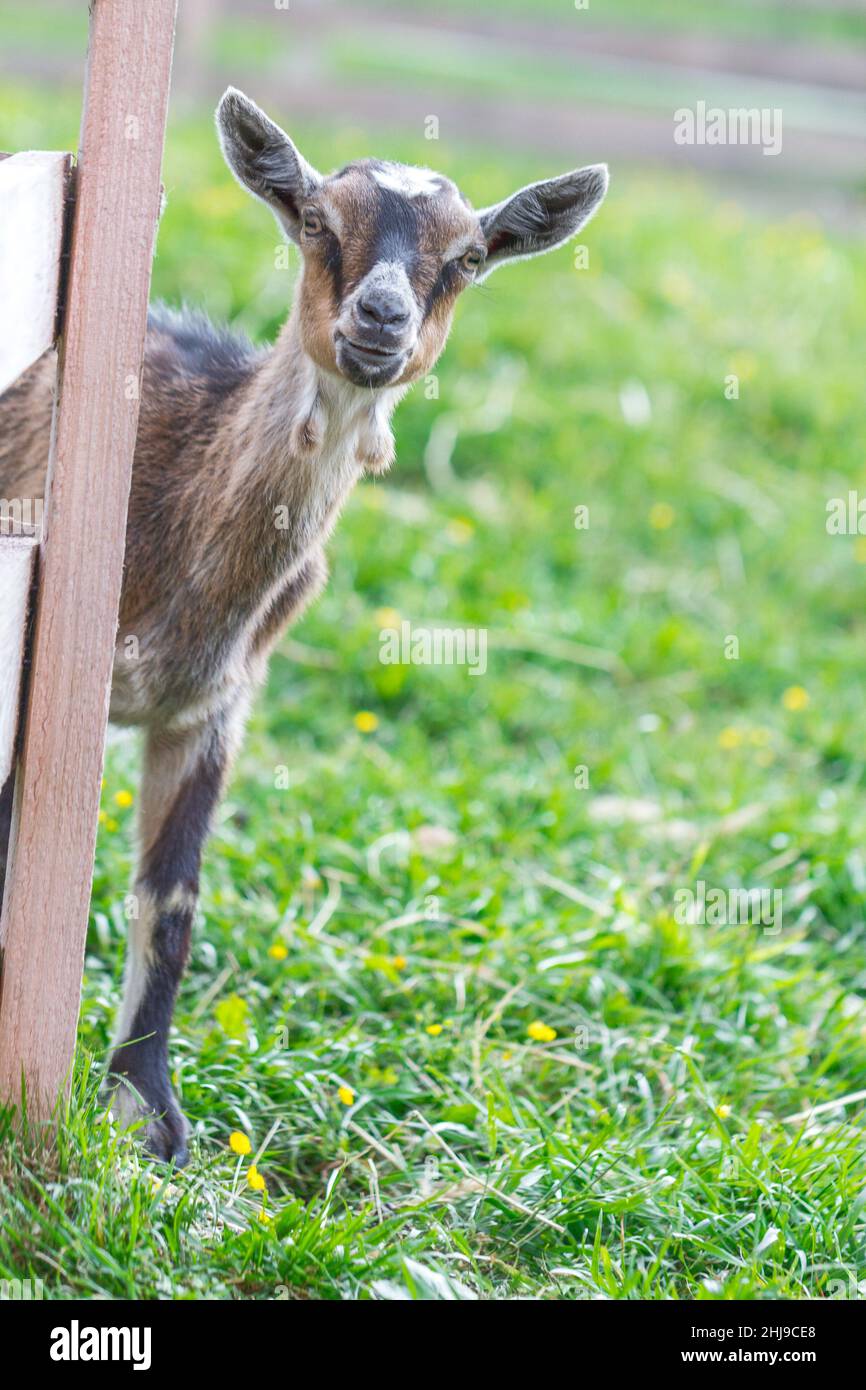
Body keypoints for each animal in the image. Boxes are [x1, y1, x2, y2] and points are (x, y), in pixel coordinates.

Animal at [0, 90, 608, 1163]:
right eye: (317, 221)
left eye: (468, 259)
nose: (380, 317)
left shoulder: (214, 705)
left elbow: (173, 901)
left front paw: (144, 1111)